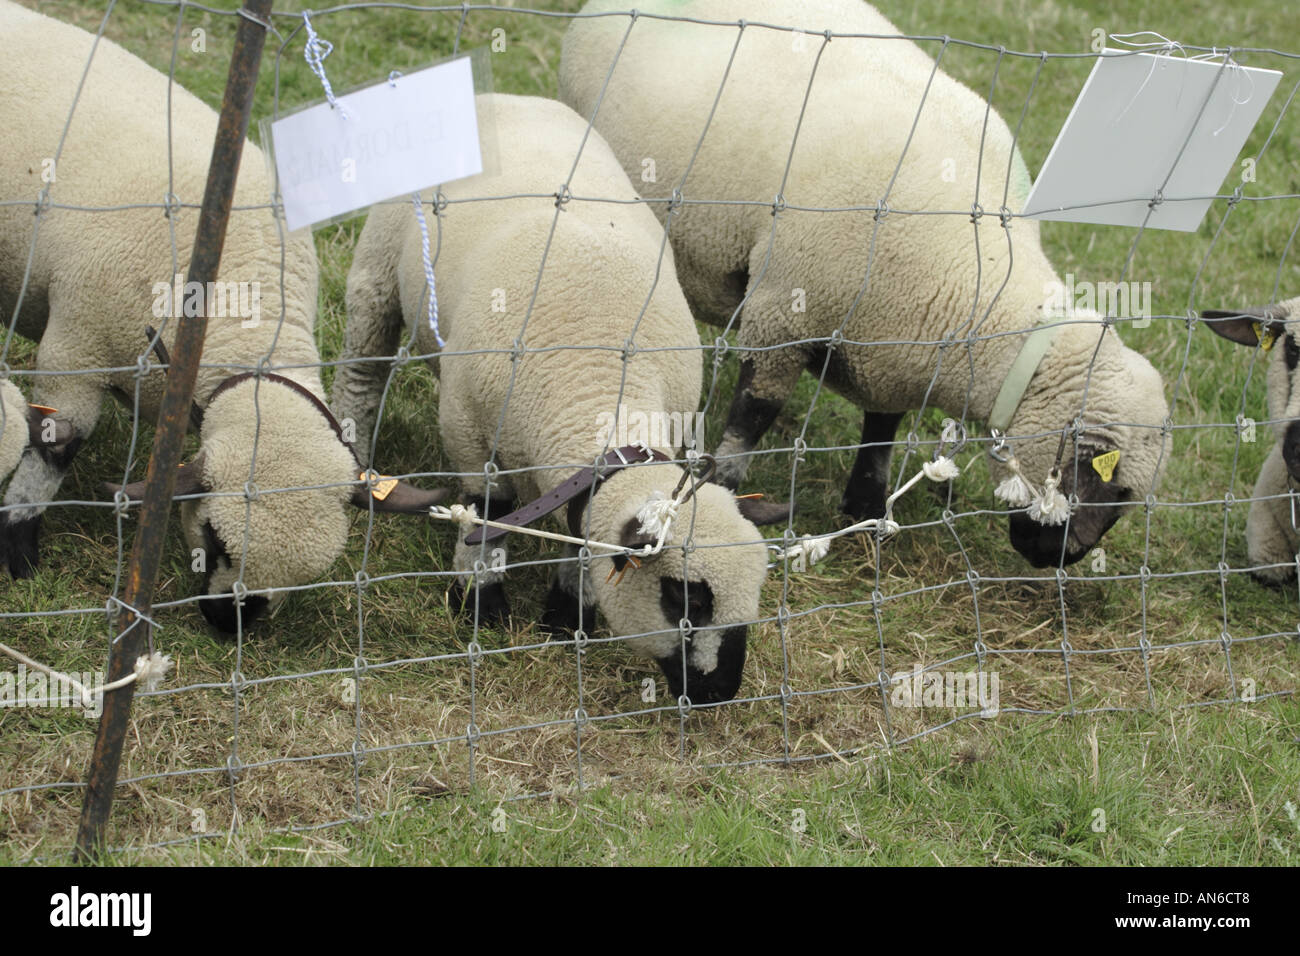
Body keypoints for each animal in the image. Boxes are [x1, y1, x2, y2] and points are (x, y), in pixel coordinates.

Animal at [0, 0, 442, 632]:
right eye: (215, 538)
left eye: (303, 576)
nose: (231, 624)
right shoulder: (75, 351)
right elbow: (54, 448)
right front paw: (19, 550)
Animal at [332, 93, 790, 703]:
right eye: (683, 596)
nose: (721, 691)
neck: (595, 381)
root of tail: (505, 96)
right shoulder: (468, 431)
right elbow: (488, 513)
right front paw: (480, 603)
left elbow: (579, 538)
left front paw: (566, 617)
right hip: (377, 265)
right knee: (363, 367)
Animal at [560, 0, 1172, 567]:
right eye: (1106, 480)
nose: (1060, 557)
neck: (975, 297)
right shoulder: (783, 313)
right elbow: (751, 418)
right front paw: (726, 489)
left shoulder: (894, 349)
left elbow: (881, 430)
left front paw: (867, 506)